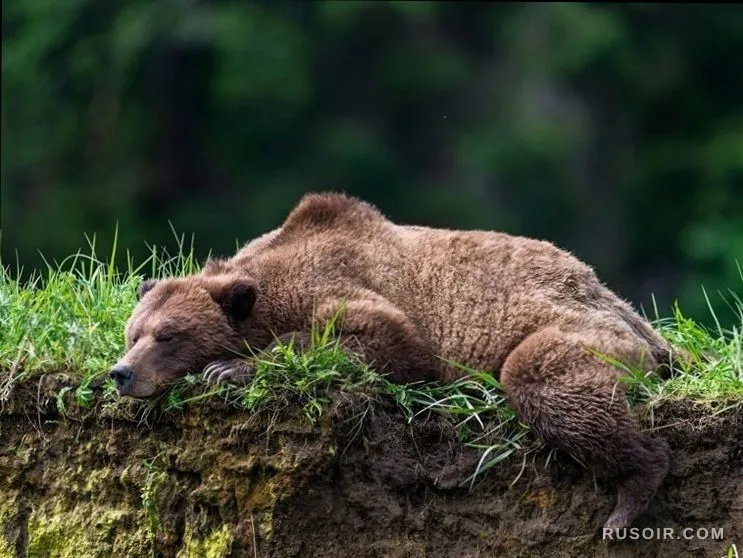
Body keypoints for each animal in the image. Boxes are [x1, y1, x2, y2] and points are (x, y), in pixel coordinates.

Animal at [111, 191, 676, 532]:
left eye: (168, 335)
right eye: (133, 333)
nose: (121, 372)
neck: (270, 289)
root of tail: (611, 296)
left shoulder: (354, 288)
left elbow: (384, 340)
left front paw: (230, 367)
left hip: (576, 326)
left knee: (543, 378)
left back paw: (629, 497)